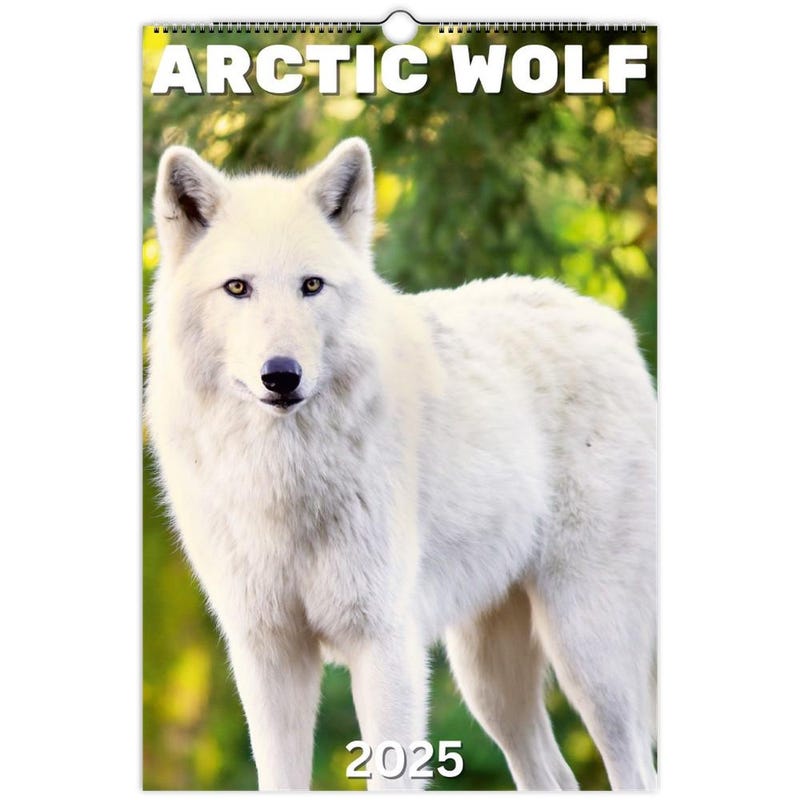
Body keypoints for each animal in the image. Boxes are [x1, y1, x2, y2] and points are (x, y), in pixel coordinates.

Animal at [145, 137, 657, 791]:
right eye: (238, 288)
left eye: (312, 285)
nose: (281, 375)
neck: (284, 481)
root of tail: (611, 324)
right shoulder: (268, 653)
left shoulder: (385, 646)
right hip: (488, 679)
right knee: (555, 778)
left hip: (587, 651)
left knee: (637, 774)